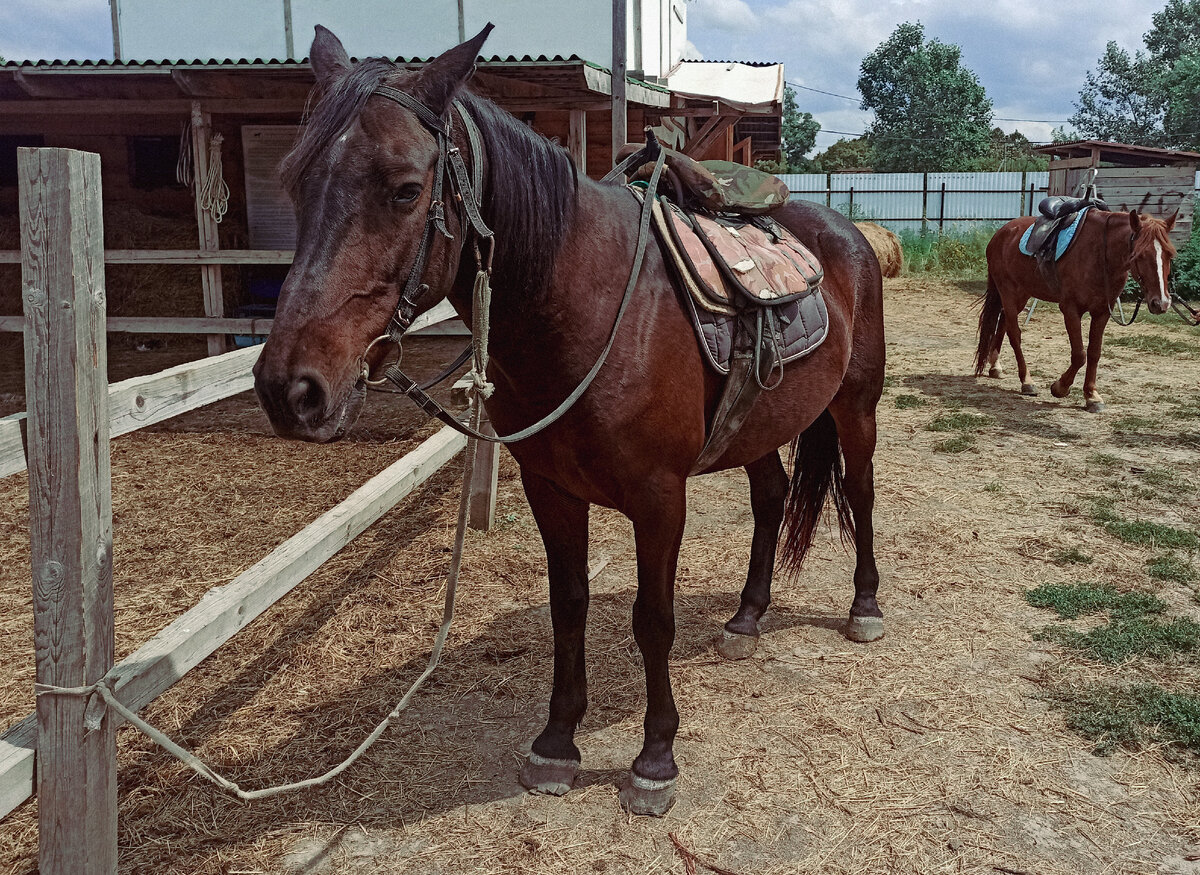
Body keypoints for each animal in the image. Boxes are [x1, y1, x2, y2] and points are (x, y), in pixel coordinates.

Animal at [253, 28, 888, 820]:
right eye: (295, 184)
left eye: (404, 189)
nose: (290, 389)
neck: (589, 306)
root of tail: (847, 233)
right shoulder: (549, 488)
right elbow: (569, 605)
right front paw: (557, 742)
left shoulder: (660, 497)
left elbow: (652, 618)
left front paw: (654, 758)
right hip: (759, 424)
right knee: (770, 499)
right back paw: (746, 618)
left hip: (856, 405)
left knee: (859, 493)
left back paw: (865, 606)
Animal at [974, 207, 1171, 410]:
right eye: (1139, 255)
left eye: (1170, 254)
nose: (1161, 303)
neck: (1100, 255)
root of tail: (1001, 233)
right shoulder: (1070, 309)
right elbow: (1079, 355)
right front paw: (1060, 387)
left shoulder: (1102, 312)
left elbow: (1094, 353)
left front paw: (1092, 395)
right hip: (1008, 291)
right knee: (1014, 334)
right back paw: (1026, 381)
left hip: (1021, 295)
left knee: (1003, 322)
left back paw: (995, 366)